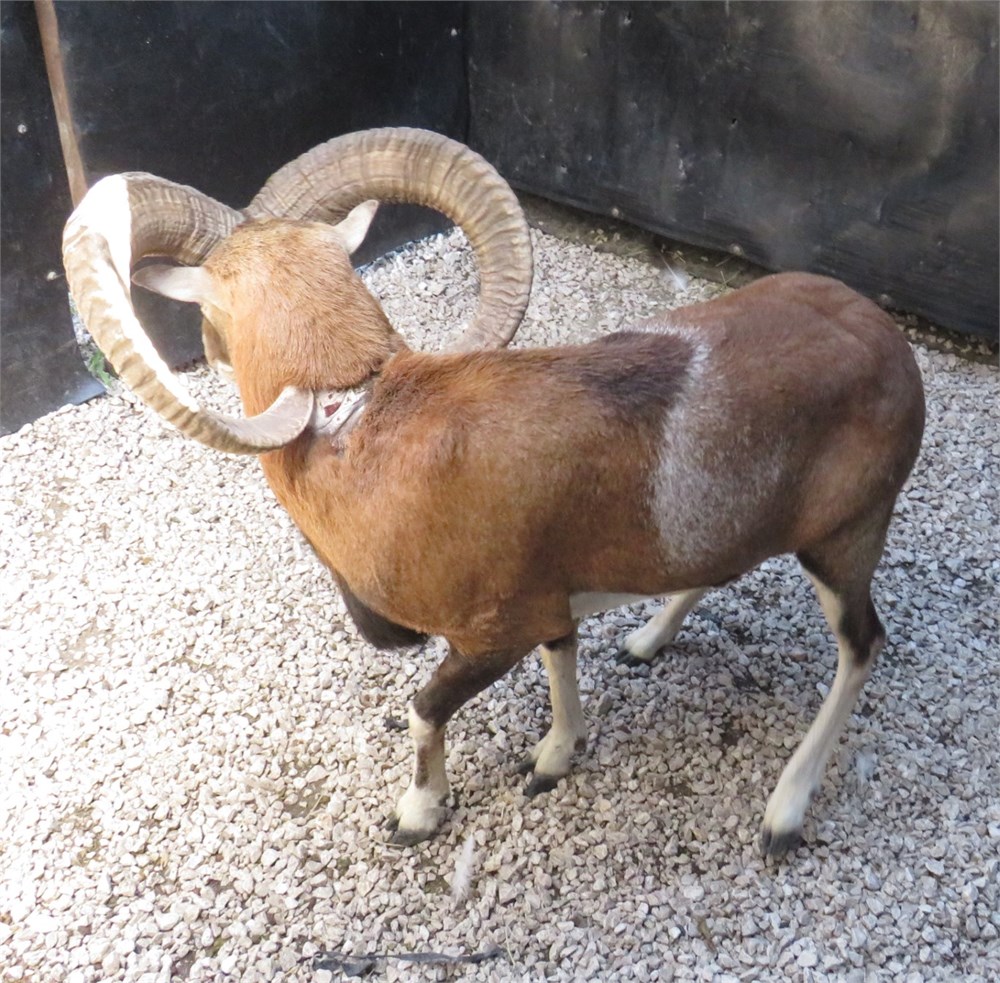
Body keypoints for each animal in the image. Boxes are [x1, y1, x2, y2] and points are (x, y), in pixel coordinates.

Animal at [63, 128, 925, 856]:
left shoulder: (487, 637)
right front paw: (552, 760)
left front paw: (417, 815)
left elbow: (425, 710)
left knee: (862, 646)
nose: (205, 349)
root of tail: (891, 346)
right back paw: (646, 642)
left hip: (843, 542)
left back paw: (784, 813)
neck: (361, 428)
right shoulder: (545, 606)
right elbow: (562, 661)